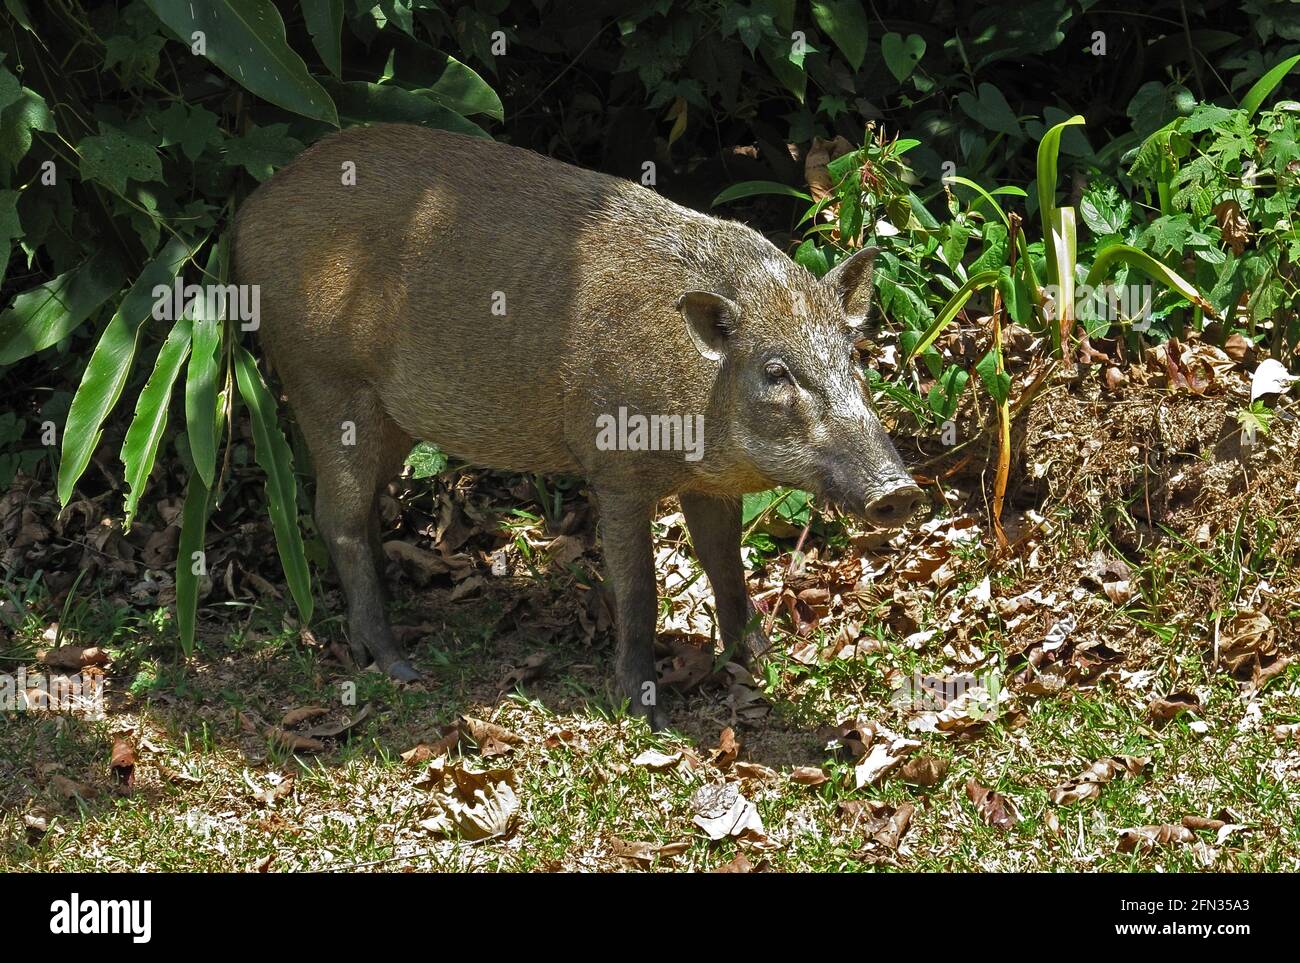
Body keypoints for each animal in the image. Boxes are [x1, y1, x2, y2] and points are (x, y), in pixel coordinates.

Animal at [233, 124, 923, 728]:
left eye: (851, 354)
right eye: (776, 370)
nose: (901, 491)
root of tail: (251, 210)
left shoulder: (710, 482)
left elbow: (725, 565)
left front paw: (760, 664)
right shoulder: (614, 466)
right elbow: (640, 588)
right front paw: (646, 712)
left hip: (388, 415)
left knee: (368, 503)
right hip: (322, 378)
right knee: (335, 516)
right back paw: (398, 664)